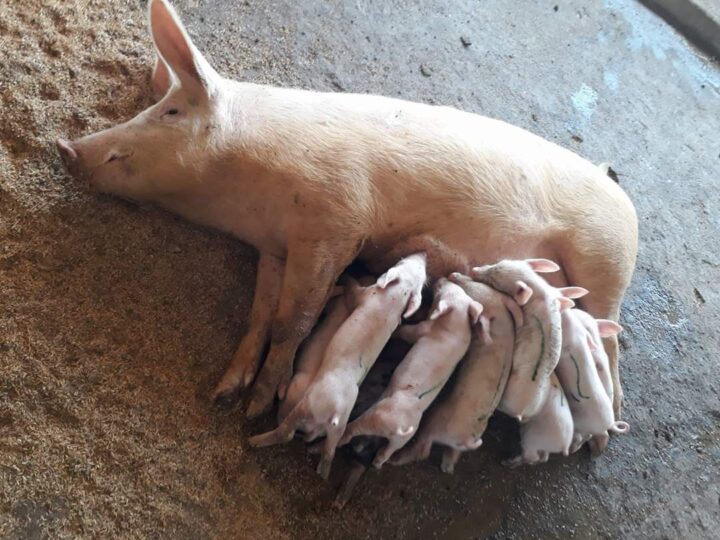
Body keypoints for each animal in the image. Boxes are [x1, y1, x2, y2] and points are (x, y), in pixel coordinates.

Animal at [248, 254, 426, 479]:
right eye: (408, 263)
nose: (422, 256)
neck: (395, 299)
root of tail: (336, 413)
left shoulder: (365, 295)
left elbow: (351, 291)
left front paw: (346, 277)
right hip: (337, 429)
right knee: (328, 452)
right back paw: (322, 474)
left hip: (305, 405)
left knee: (286, 431)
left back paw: (253, 440)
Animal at [338, 278, 482, 468]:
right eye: (455, 288)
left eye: (444, 290)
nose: (442, 279)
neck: (457, 325)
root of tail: (403, 428)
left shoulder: (423, 330)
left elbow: (407, 333)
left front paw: (399, 326)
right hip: (400, 441)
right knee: (384, 454)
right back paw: (378, 462)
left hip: (378, 416)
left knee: (357, 428)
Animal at [392, 273, 517, 473]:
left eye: (471, 287)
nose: (449, 275)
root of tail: (467, 440)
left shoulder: (423, 330)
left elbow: (409, 332)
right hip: (455, 446)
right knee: (450, 460)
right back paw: (446, 468)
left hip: (434, 422)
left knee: (423, 449)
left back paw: (395, 459)